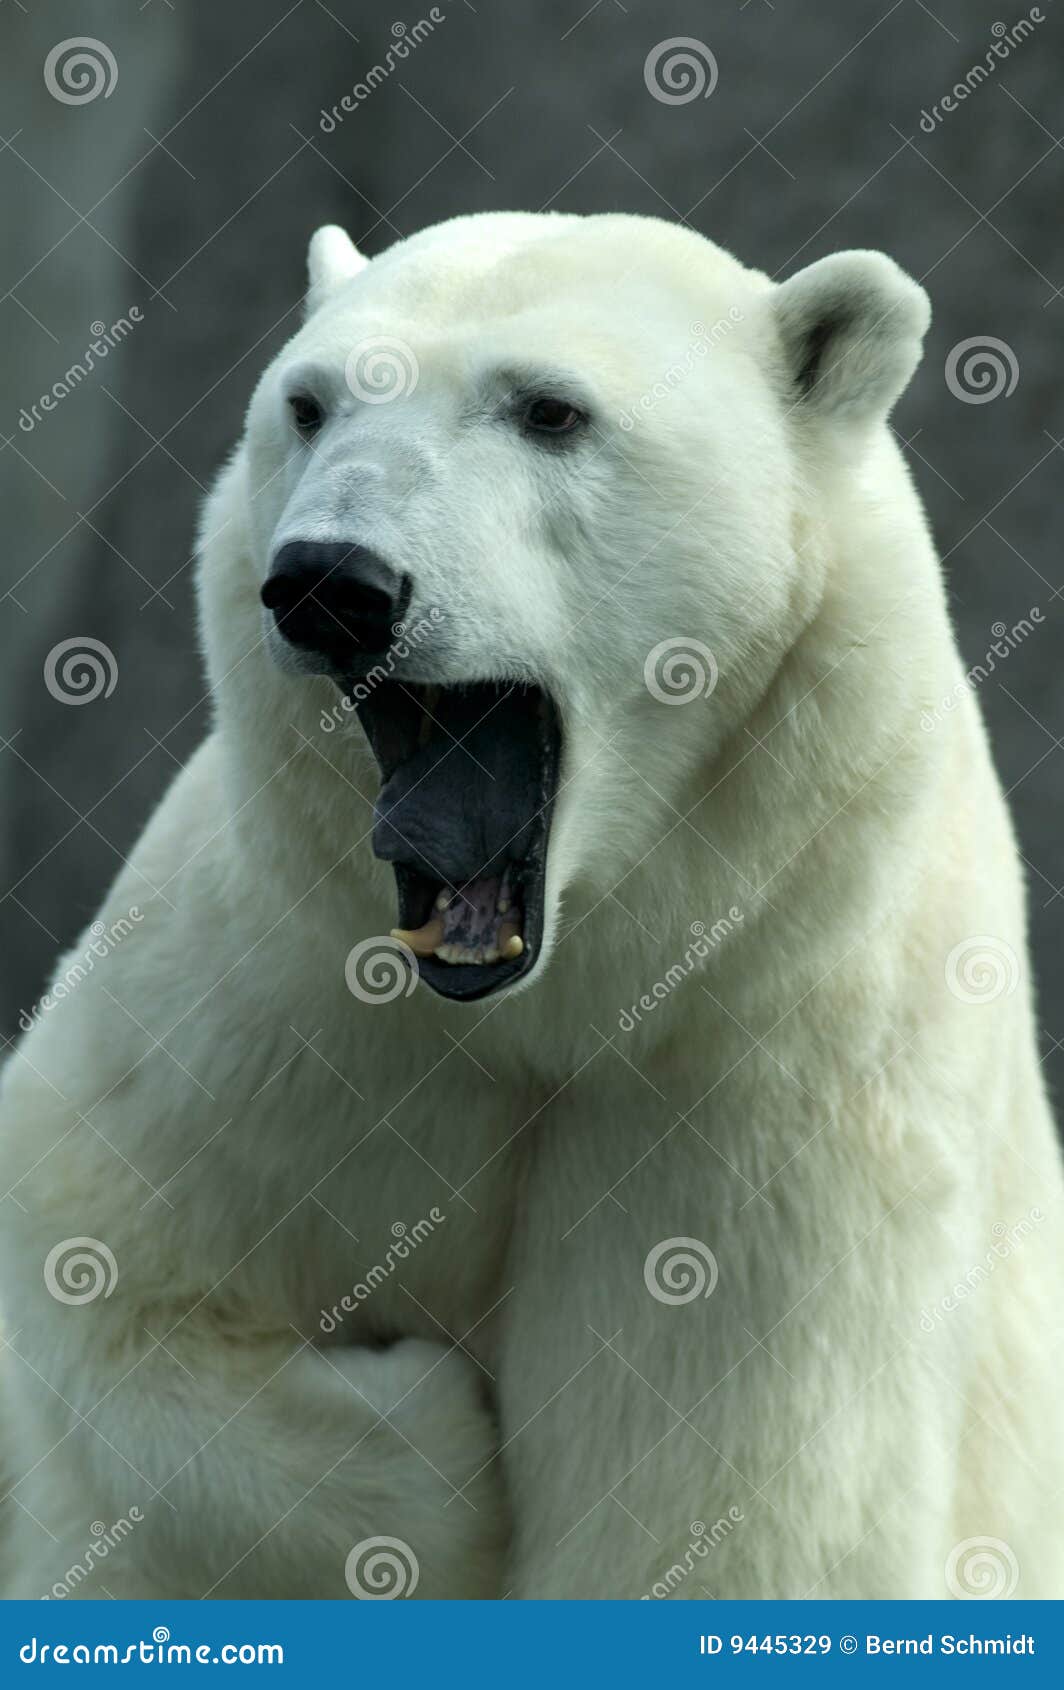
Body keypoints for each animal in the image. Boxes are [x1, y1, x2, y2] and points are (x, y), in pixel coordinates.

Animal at [0, 210, 1061, 1600]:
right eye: (307, 403)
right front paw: (423, 1454)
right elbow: (99, 1263)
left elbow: (714, 1511)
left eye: (549, 411)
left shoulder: (761, 1078)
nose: (333, 582)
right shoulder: (265, 994)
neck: (550, 997)